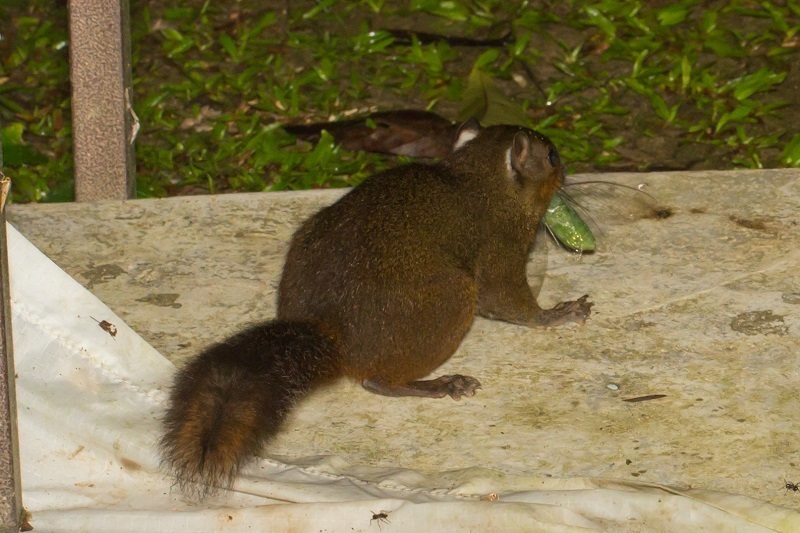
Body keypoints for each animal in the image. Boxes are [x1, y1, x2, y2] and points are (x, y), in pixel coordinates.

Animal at [159, 120, 593, 500]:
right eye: (552, 156)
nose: (568, 173)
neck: (479, 176)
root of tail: (329, 336)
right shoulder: (501, 244)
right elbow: (508, 301)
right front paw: (557, 313)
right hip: (450, 299)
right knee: (377, 380)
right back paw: (439, 384)